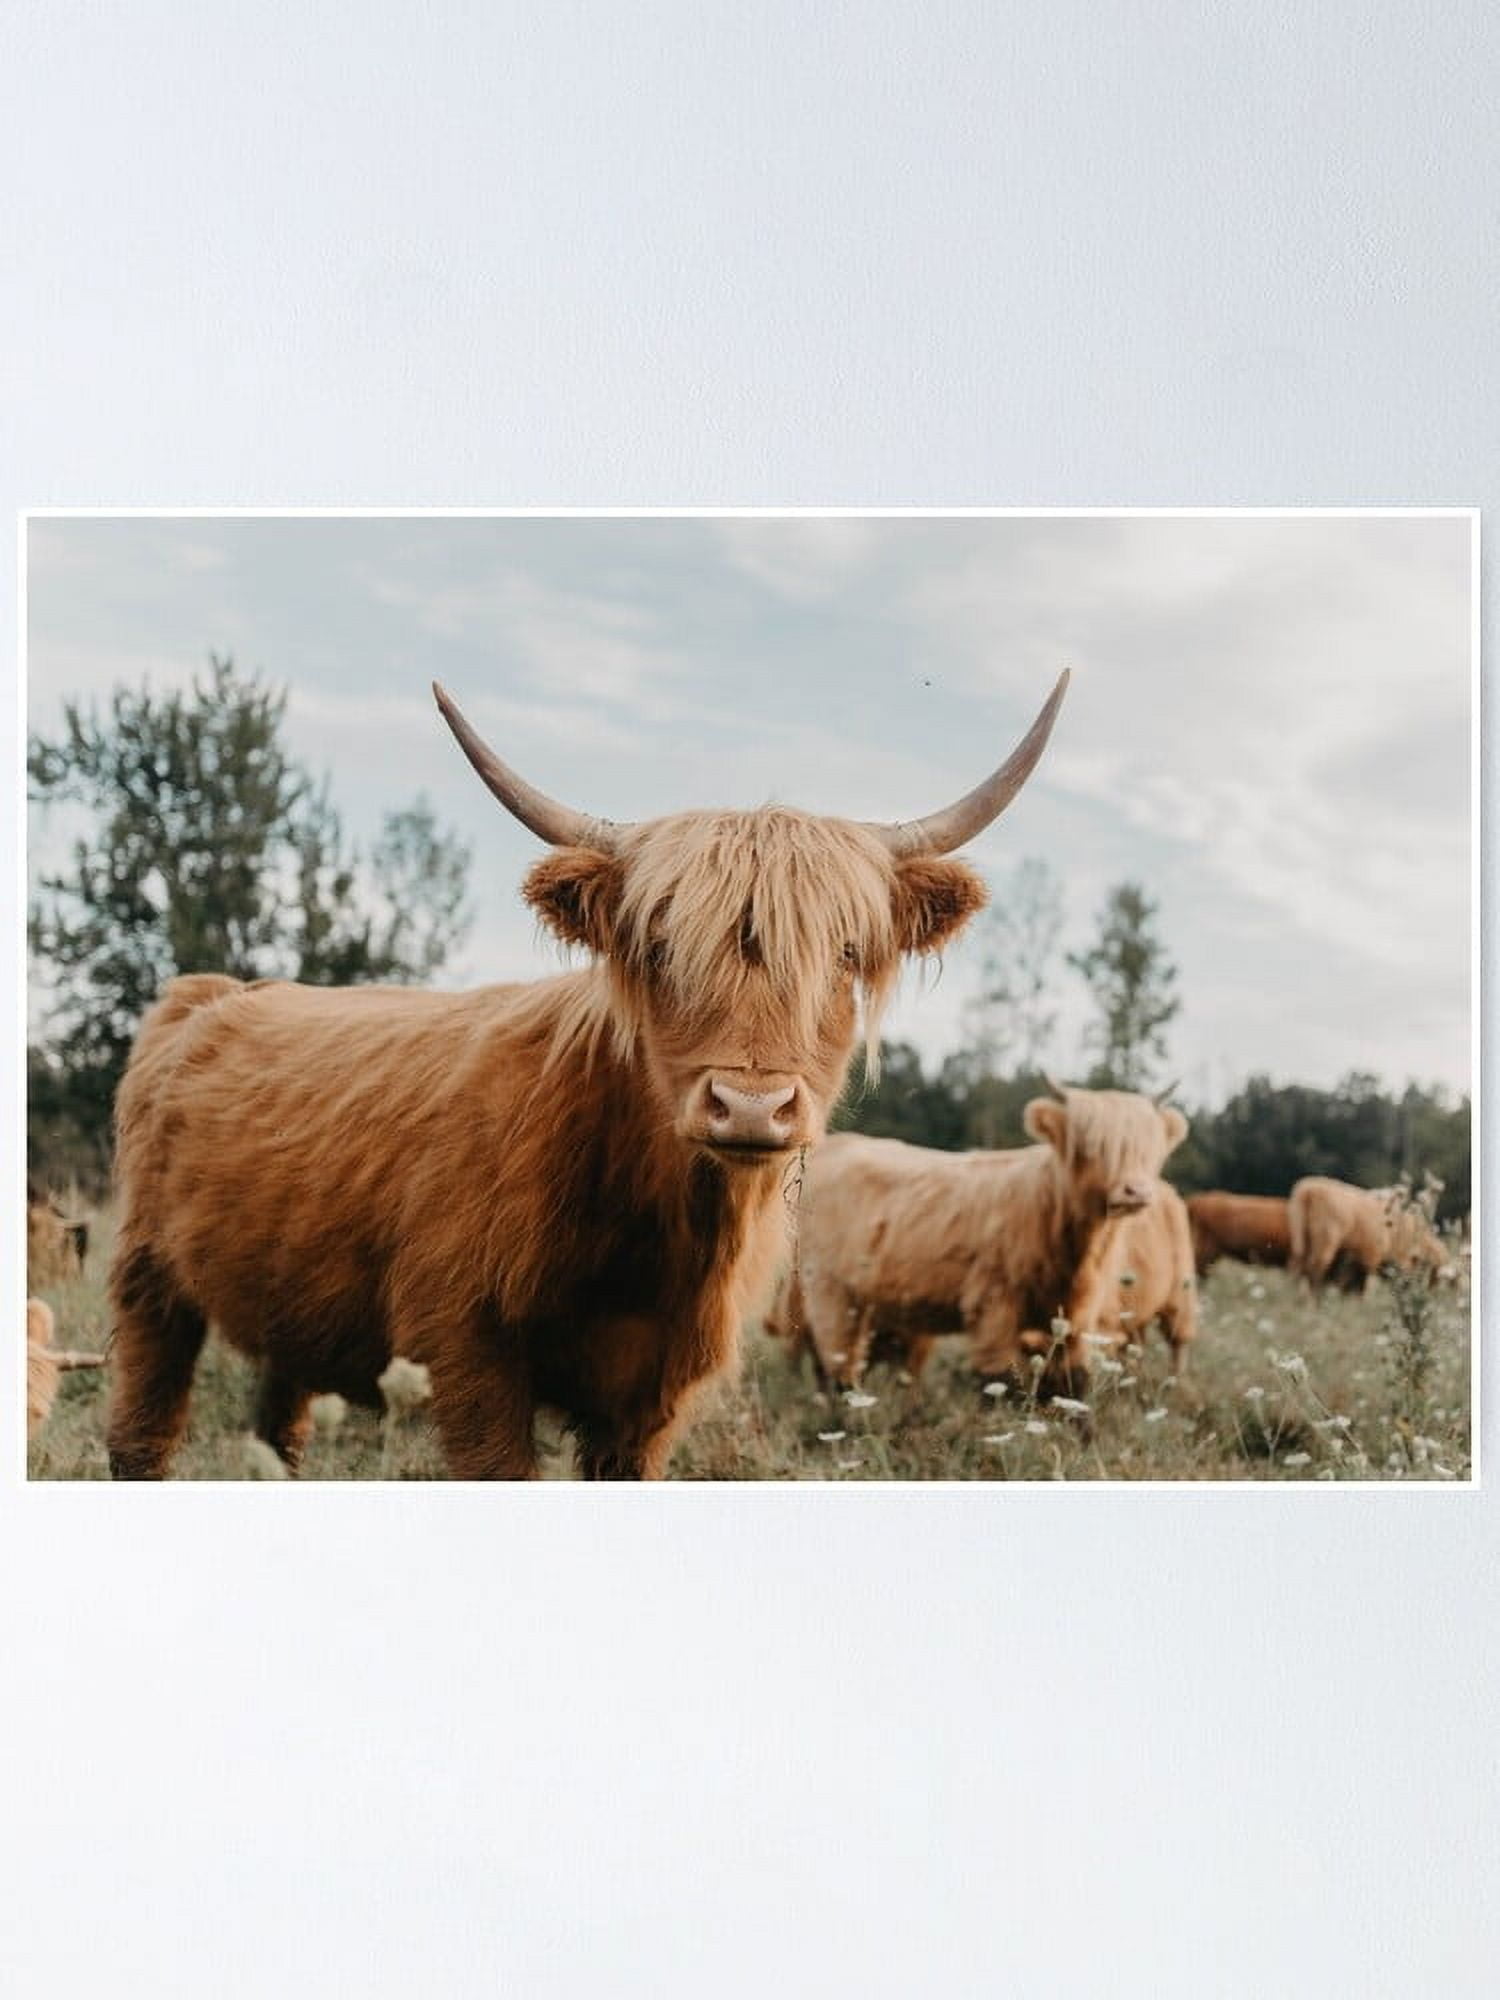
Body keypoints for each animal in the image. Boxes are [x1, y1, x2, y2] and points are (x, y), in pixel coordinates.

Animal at [105, 672, 1068, 1480]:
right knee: (142, 1428)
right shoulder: (469, 1353)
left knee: (280, 1428)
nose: (751, 1105)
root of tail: (213, 991)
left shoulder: (651, 1400)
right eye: (660, 947)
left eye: (844, 953)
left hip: (288, 1303)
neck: (654, 1228)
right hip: (148, 1276)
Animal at [779, 1081, 1188, 1393]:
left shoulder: (1076, 1313)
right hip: (829, 1291)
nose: (1136, 1191)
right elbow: (999, 1382)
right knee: (837, 1365)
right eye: (1091, 1146)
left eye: (1150, 1149)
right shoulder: (993, 1304)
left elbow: (1073, 1382)